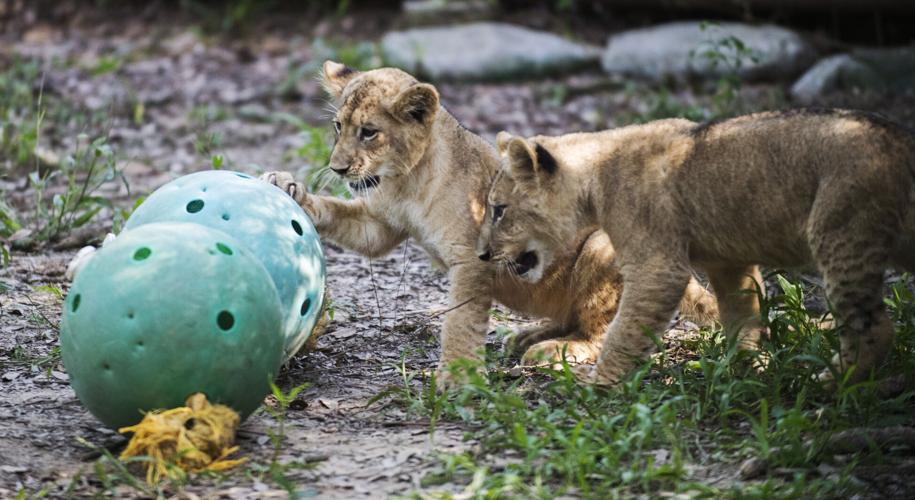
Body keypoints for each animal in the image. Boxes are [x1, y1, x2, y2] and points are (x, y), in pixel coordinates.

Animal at [261, 61, 719, 381]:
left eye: (369, 132)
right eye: (337, 126)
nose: (337, 169)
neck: (405, 183)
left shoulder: (471, 255)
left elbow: (460, 320)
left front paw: (457, 379)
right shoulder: (381, 224)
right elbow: (349, 224)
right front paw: (288, 186)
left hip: (599, 246)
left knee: (598, 331)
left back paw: (553, 350)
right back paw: (528, 335)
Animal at [479, 109, 915, 386]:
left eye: (499, 210)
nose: (482, 254)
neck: (596, 174)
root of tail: (904, 142)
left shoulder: (658, 268)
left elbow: (624, 331)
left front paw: (599, 385)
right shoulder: (730, 263)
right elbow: (743, 315)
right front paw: (742, 370)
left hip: (842, 235)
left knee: (875, 328)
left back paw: (830, 383)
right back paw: (528, 337)